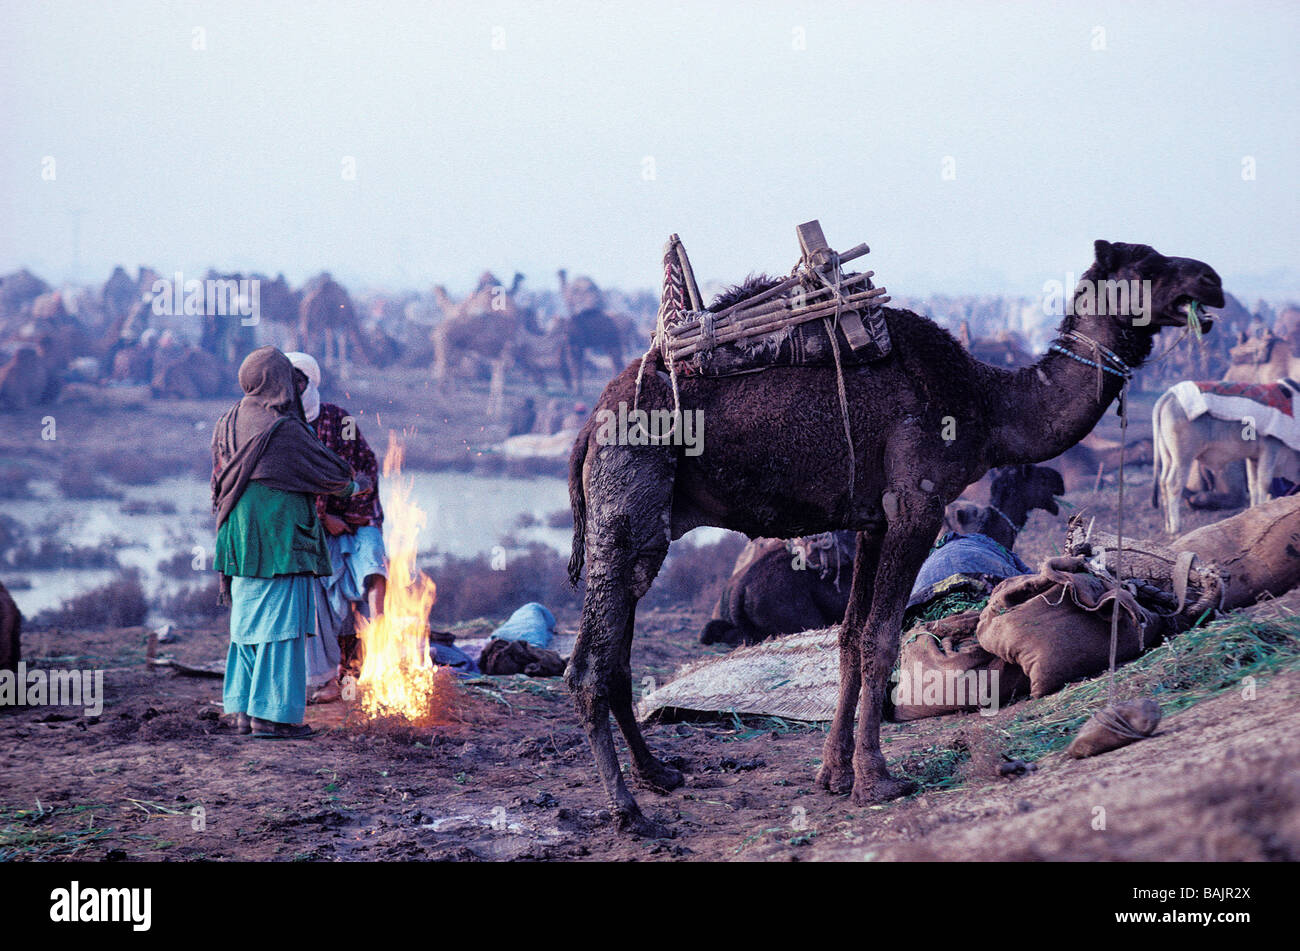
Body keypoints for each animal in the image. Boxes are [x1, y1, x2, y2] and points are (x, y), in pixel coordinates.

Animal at [565, 239, 1223, 834]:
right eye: (1148, 264)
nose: (1212, 281)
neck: (987, 404)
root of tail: (589, 426)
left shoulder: (874, 519)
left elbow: (850, 638)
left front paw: (834, 775)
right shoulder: (917, 502)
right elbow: (881, 638)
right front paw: (878, 780)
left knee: (614, 653)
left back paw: (659, 774)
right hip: (630, 497)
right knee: (590, 665)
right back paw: (630, 813)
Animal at [1151, 382, 1300, 534]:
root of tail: (1170, 394)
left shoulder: (1253, 457)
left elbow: (1253, 485)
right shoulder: (1270, 449)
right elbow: (1264, 483)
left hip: (1168, 457)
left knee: (1162, 482)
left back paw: (1168, 525)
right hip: (1183, 458)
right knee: (1173, 484)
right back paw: (1176, 528)